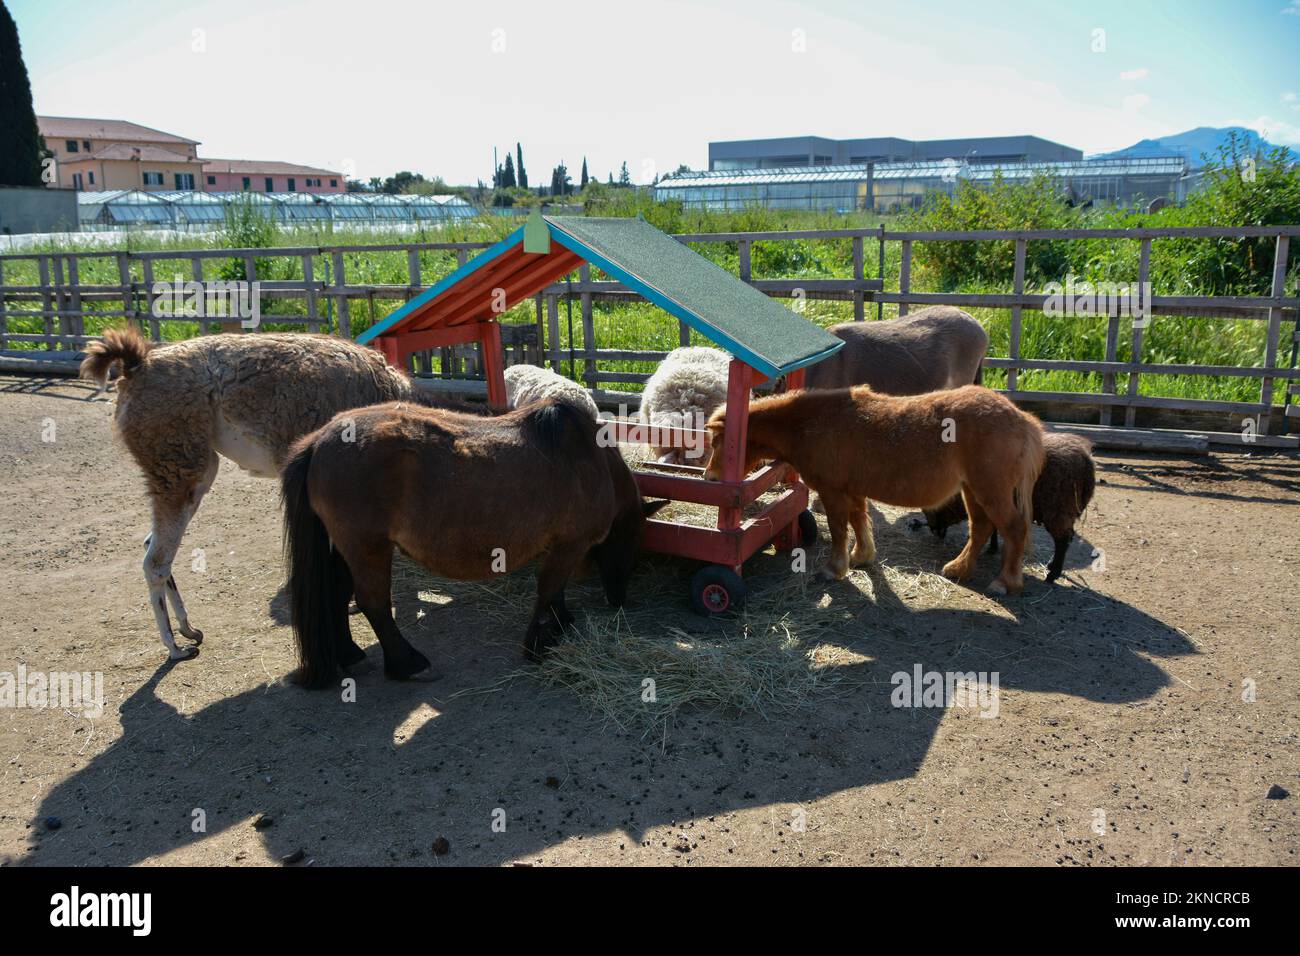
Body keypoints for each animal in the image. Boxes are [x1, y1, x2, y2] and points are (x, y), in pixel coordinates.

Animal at [80, 326, 482, 662]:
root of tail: (137, 365)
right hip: (178, 462)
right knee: (156, 560)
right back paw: (175, 648)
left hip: (188, 468)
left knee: (152, 545)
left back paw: (188, 629)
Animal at [281, 398, 666, 689]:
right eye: (633, 545)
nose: (618, 599)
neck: (588, 457)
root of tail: (320, 440)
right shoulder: (568, 545)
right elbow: (548, 589)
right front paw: (538, 644)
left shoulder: (562, 547)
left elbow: (555, 592)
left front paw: (561, 624)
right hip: (367, 548)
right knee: (372, 602)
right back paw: (408, 664)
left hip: (344, 548)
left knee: (336, 595)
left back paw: (350, 655)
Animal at [703, 385, 1045, 594]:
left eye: (720, 442)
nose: (710, 478)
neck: (811, 423)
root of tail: (1021, 418)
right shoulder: (853, 491)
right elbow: (858, 521)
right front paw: (861, 556)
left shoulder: (833, 491)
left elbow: (839, 529)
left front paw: (834, 568)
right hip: (973, 491)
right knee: (982, 528)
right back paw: (960, 569)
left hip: (990, 490)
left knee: (1013, 528)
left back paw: (1005, 582)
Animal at [921, 432, 1096, 583]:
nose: (934, 531)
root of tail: (1086, 459)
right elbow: (994, 529)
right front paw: (993, 548)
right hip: (1066, 511)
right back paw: (1051, 566)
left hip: (1058, 509)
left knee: (1062, 541)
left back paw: (1052, 574)